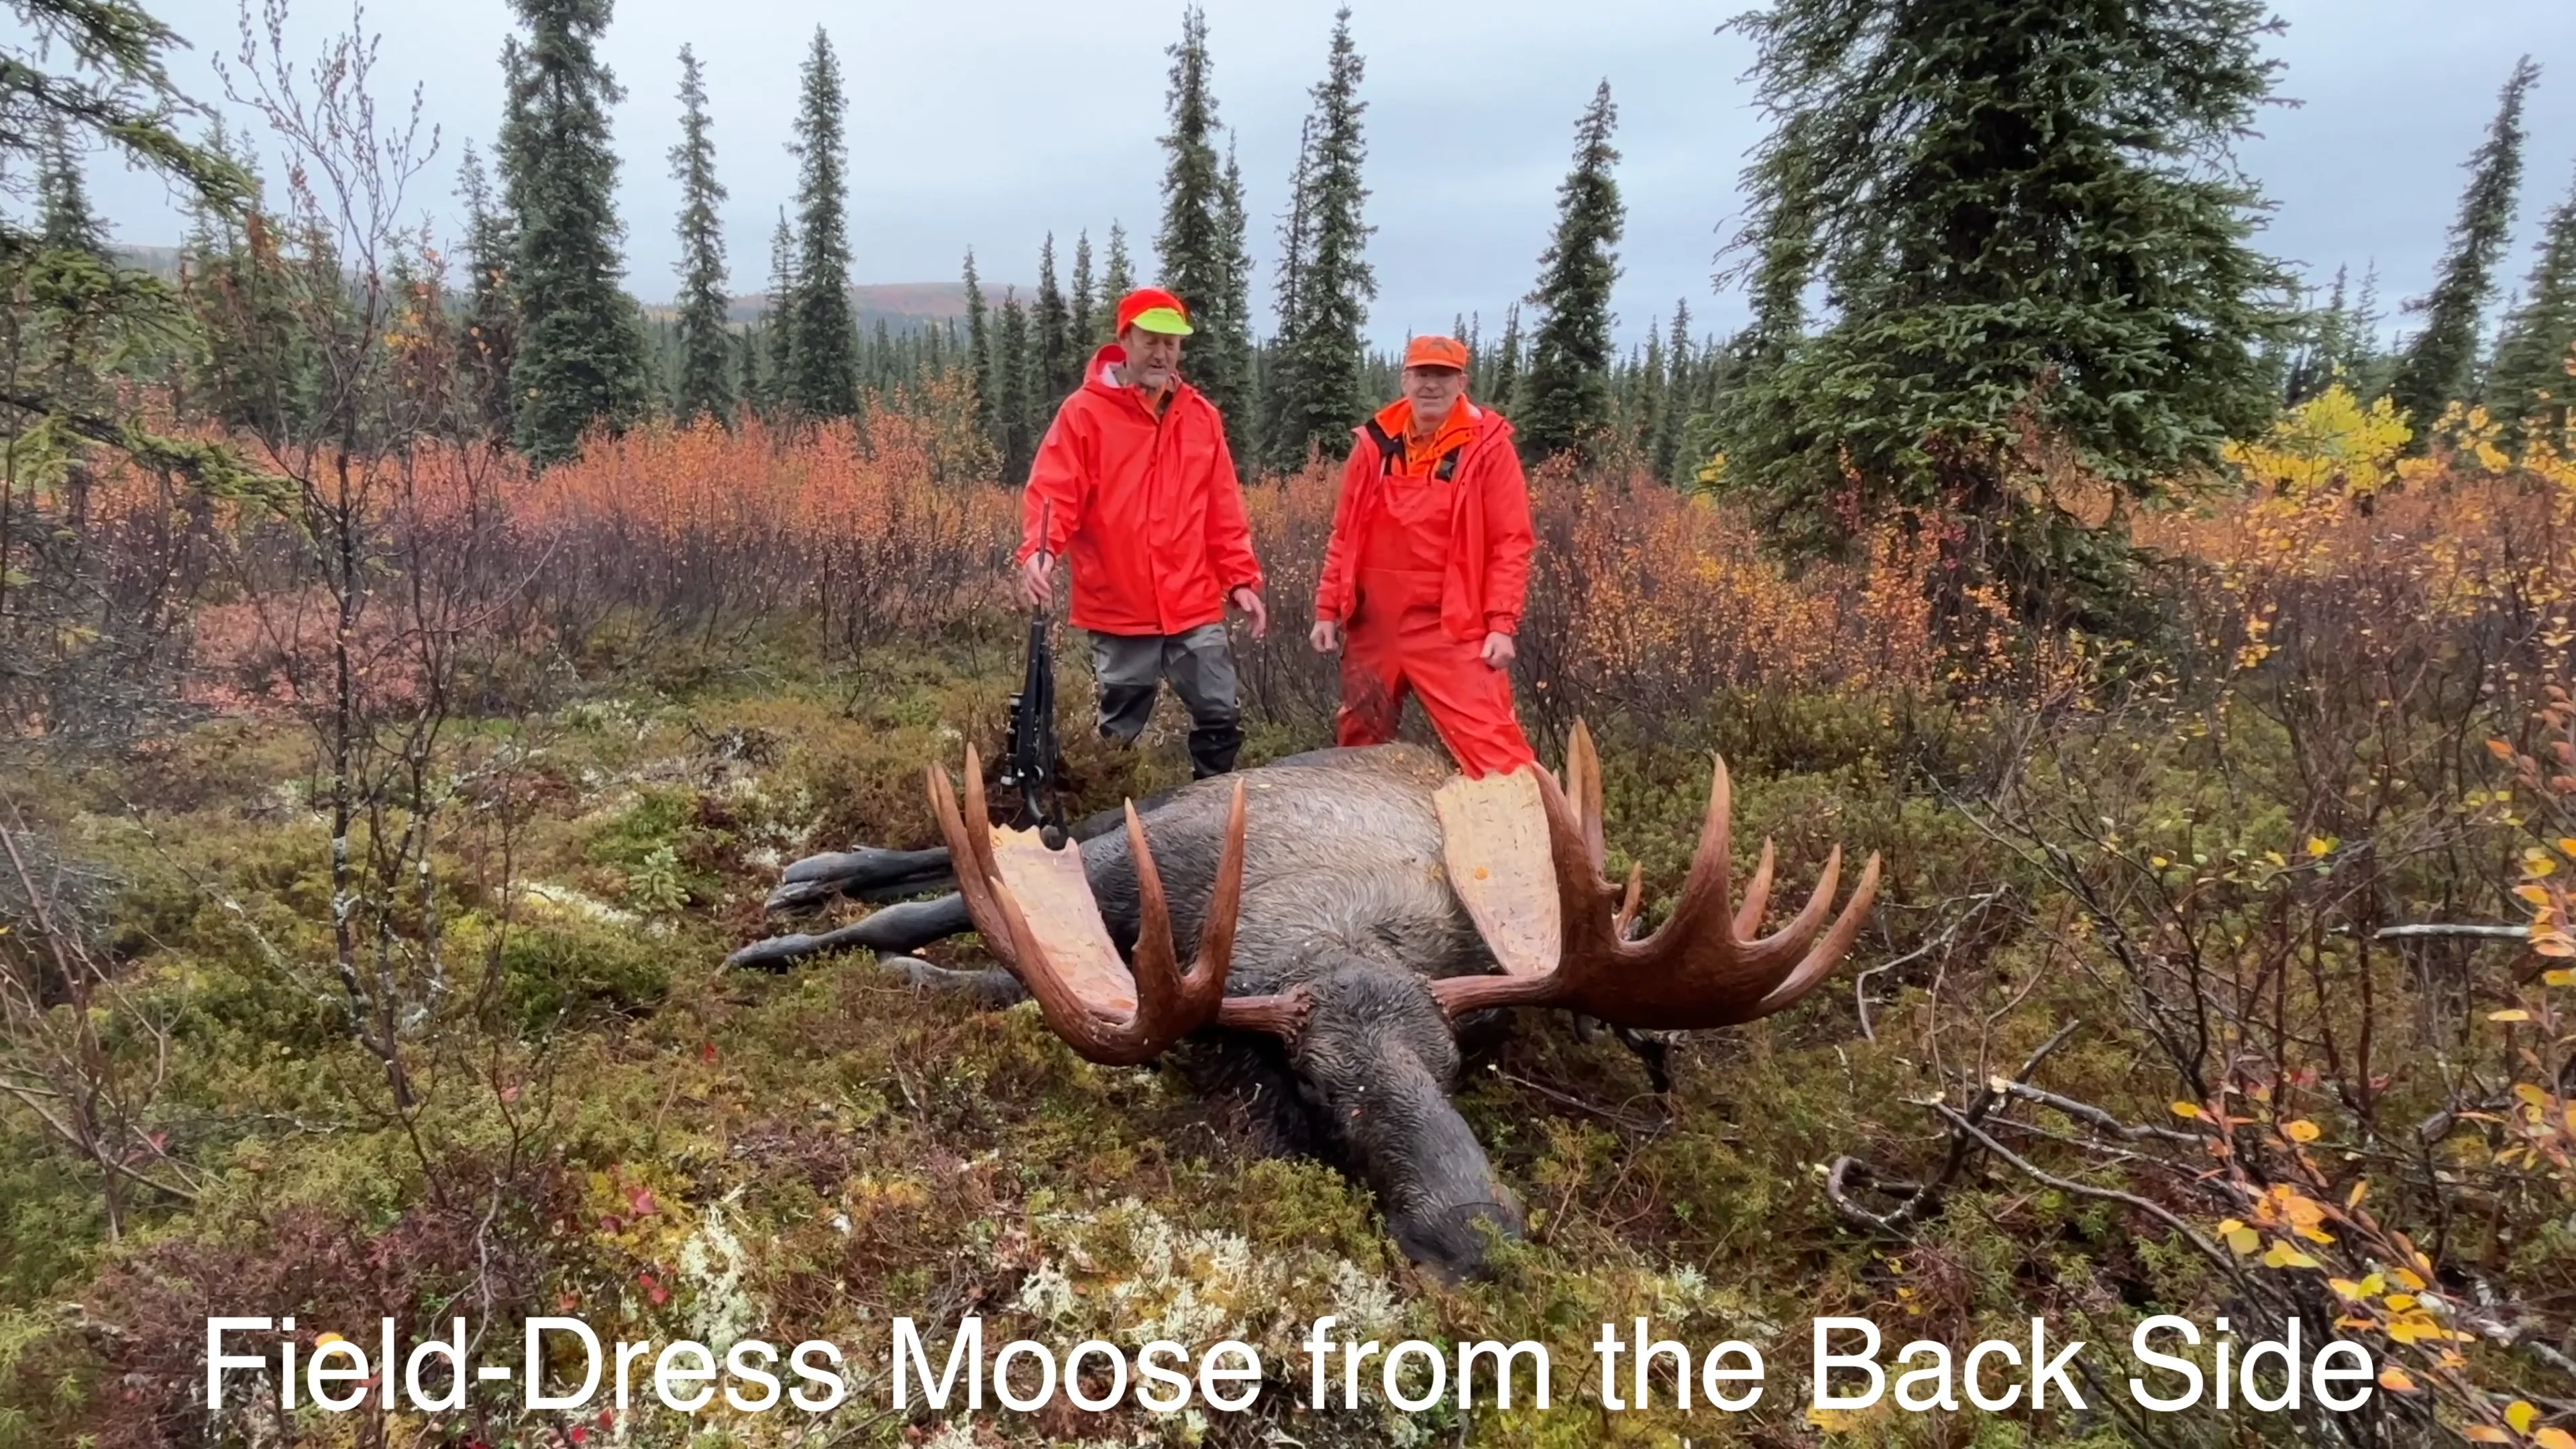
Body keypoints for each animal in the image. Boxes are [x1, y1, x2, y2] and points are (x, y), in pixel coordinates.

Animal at [729, 723, 1881, 1281]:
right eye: (1317, 1092)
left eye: (1457, 1071)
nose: (1481, 1240)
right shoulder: (1146, 864)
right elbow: (941, 921)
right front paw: (788, 945)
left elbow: (1004, 969)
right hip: (1149, 811)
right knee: (1014, 843)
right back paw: (816, 874)